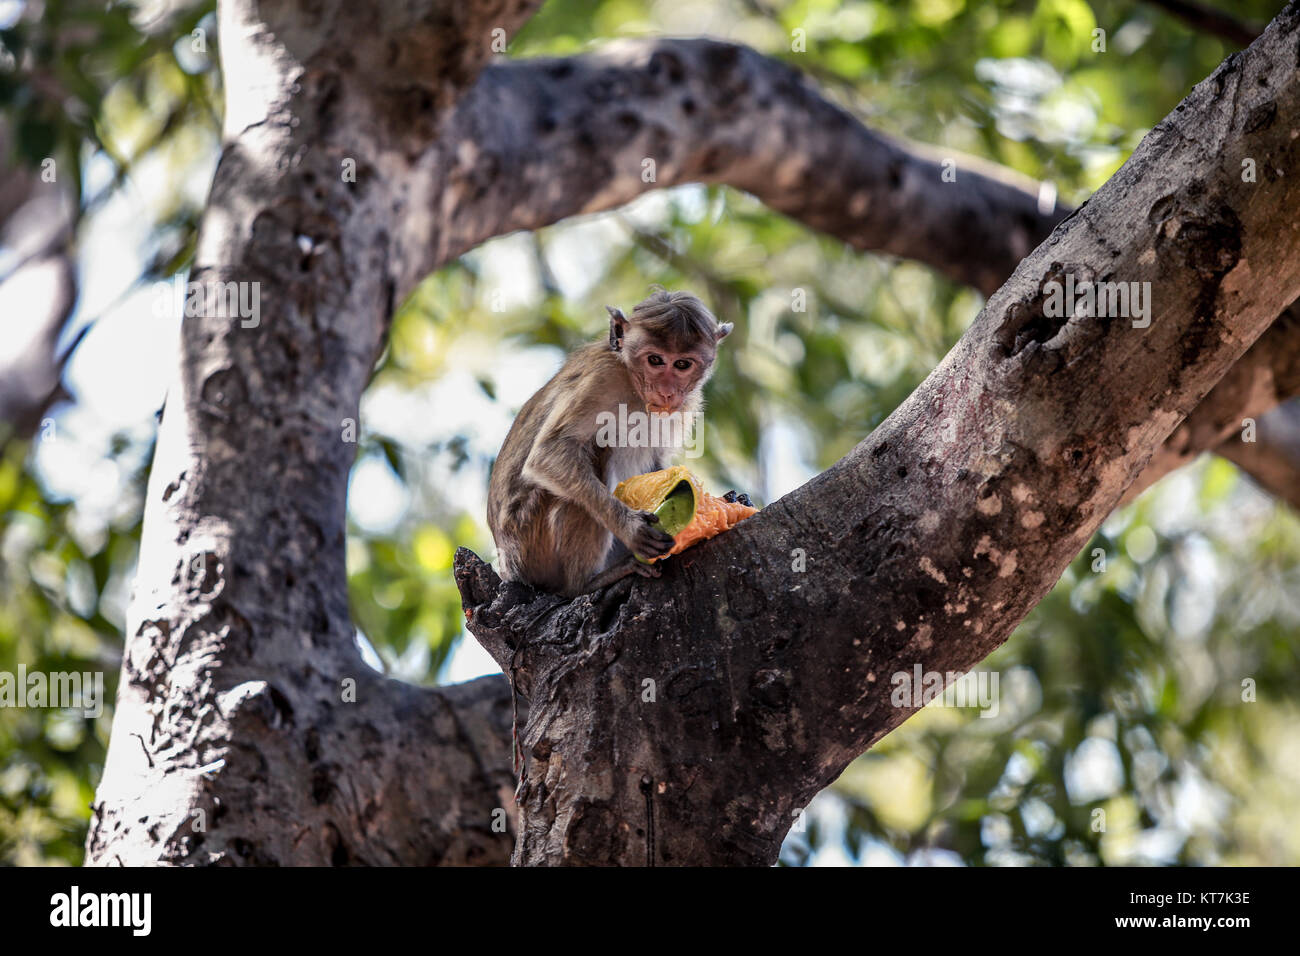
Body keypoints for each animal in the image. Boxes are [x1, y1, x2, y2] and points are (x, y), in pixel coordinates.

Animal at [487, 288, 733, 596]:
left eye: (682, 364)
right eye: (655, 360)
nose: (666, 392)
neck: (634, 384)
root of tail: (508, 565)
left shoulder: (686, 403)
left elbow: (658, 463)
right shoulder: (602, 379)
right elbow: (548, 453)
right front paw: (630, 527)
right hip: (531, 543)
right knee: (594, 452)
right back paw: (586, 582)